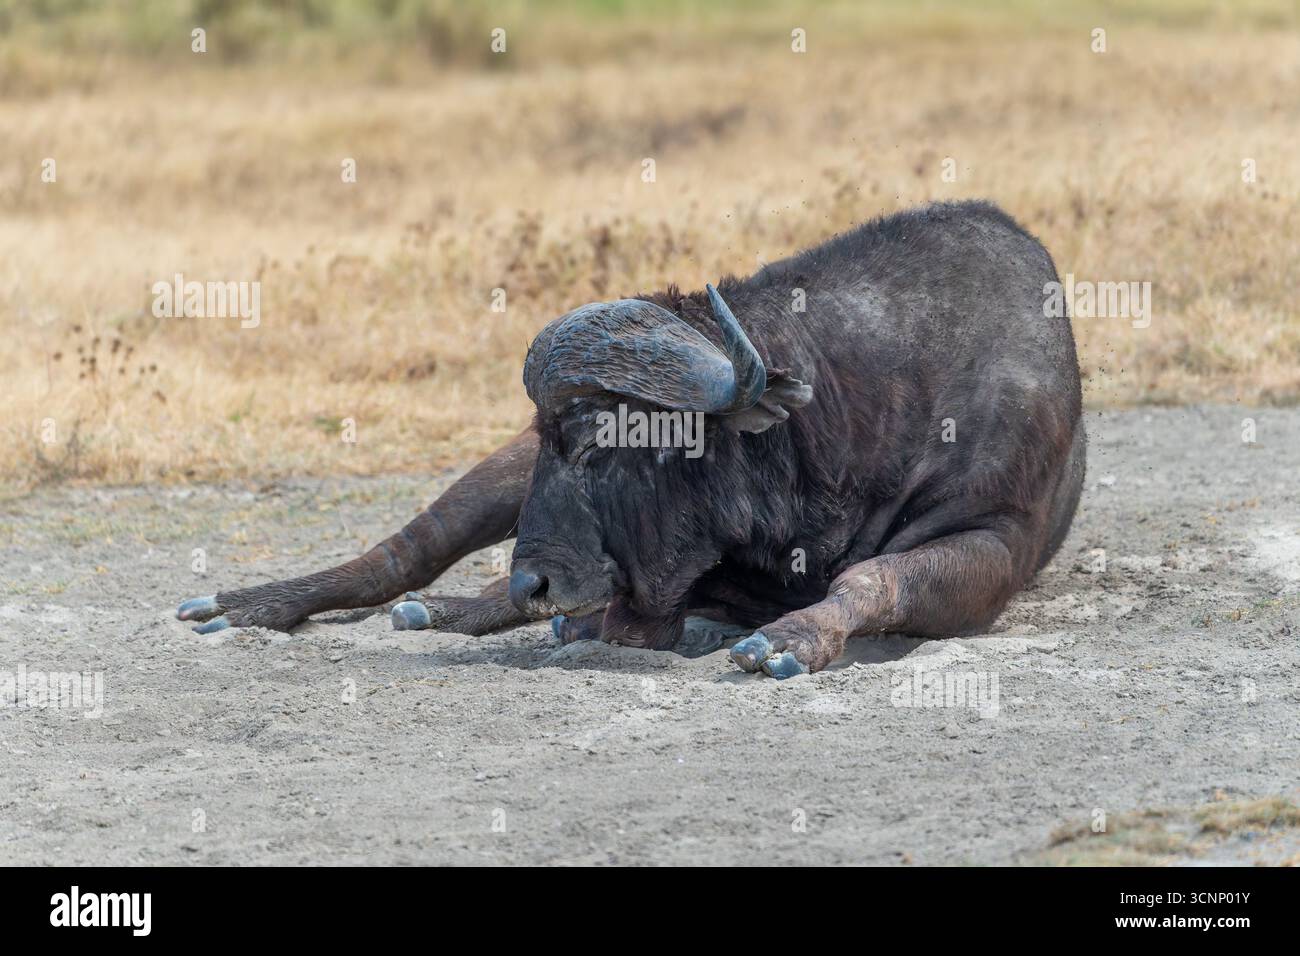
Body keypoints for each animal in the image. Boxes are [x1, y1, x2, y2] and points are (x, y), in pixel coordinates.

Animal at [178, 199, 1085, 678]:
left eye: (600, 442)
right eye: (556, 437)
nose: (535, 584)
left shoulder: (992, 542)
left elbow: (871, 578)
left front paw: (789, 638)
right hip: (496, 483)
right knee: (407, 549)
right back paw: (259, 604)